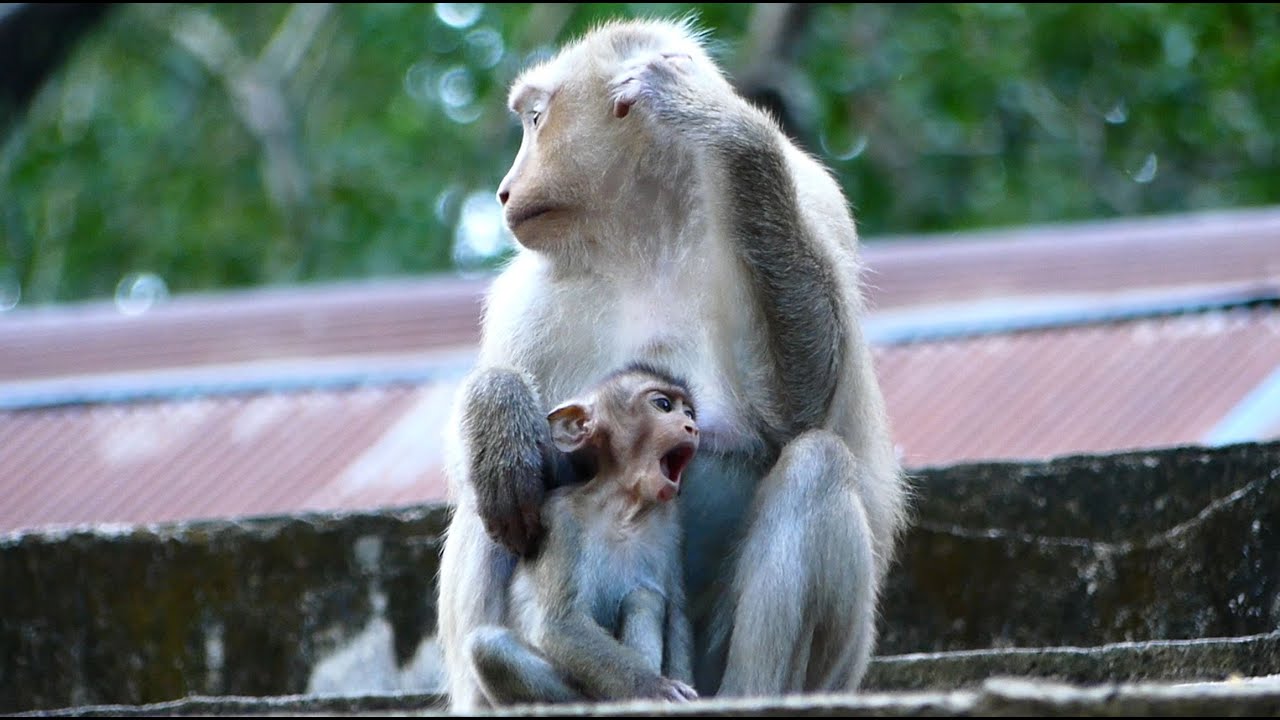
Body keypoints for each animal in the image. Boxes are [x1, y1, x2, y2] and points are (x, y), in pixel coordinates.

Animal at [465, 363, 700, 706]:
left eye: (690, 412)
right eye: (664, 405)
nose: (692, 427)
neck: (622, 508)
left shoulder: (669, 523)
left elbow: (677, 614)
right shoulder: (562, 519)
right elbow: (560, 625)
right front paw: (655, 688)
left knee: (645, 596)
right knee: (489, 648)